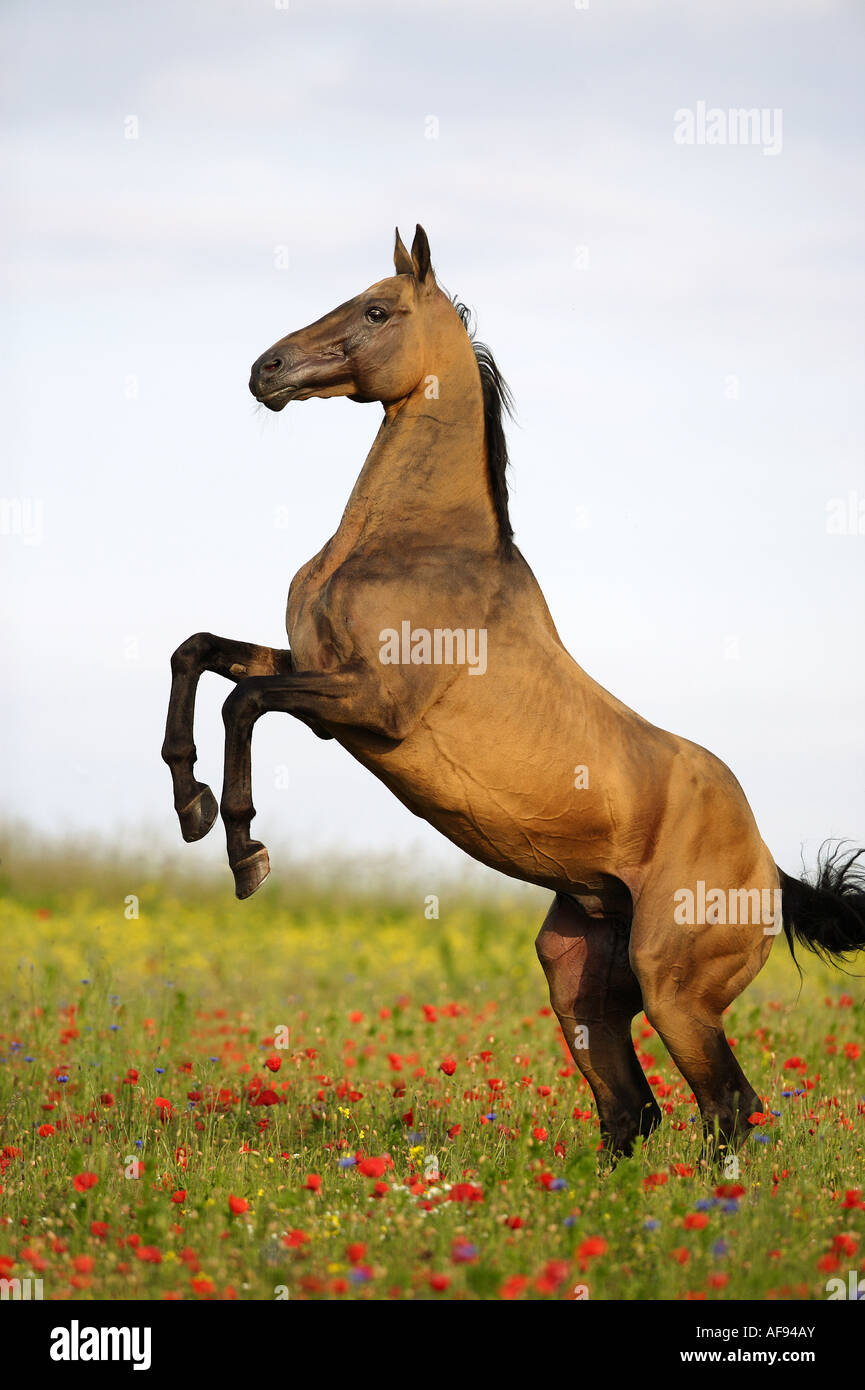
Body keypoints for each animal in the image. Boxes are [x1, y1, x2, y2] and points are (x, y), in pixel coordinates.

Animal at [162, 224, 865, 1160]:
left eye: (376, 309)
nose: (265, 370)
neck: (415, 548)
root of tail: (772, 874)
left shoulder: (365, 705)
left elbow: (240, 702)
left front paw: (243, 852)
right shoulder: (308, 669)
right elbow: (197, 654)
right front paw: (190, 804)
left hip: (677, 992)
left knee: (730, 1108)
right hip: (577, 979)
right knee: (632, 1111)